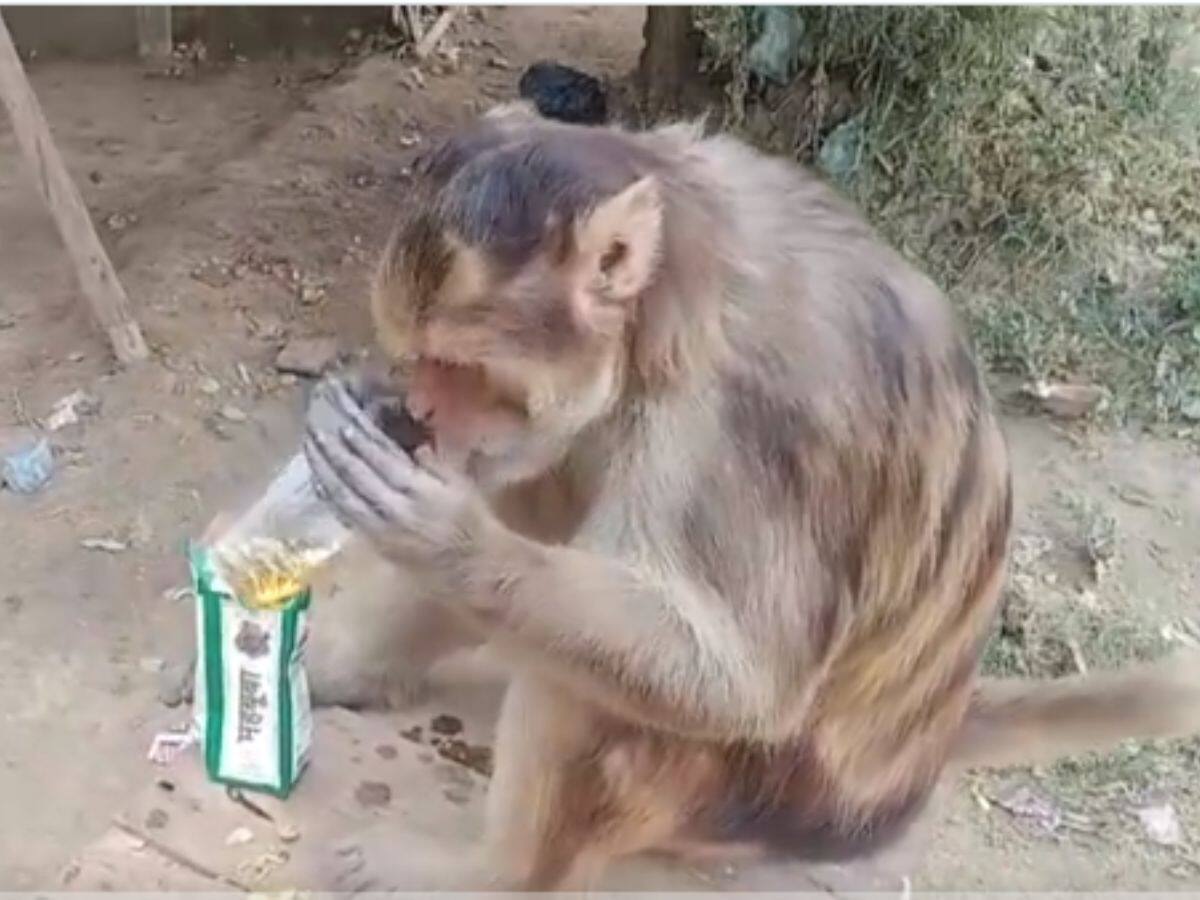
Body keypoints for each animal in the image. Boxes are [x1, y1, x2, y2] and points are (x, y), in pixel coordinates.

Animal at [302, 102, 1200, 891]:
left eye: (457, 367)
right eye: (416, 358)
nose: (419, 410)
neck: (673, 311)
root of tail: (920, 761)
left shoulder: (746, 422)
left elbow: (743, 680)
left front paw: (444, 537)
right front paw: (350, 656)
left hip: (741, 800)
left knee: (597, 684)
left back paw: (498, 877)